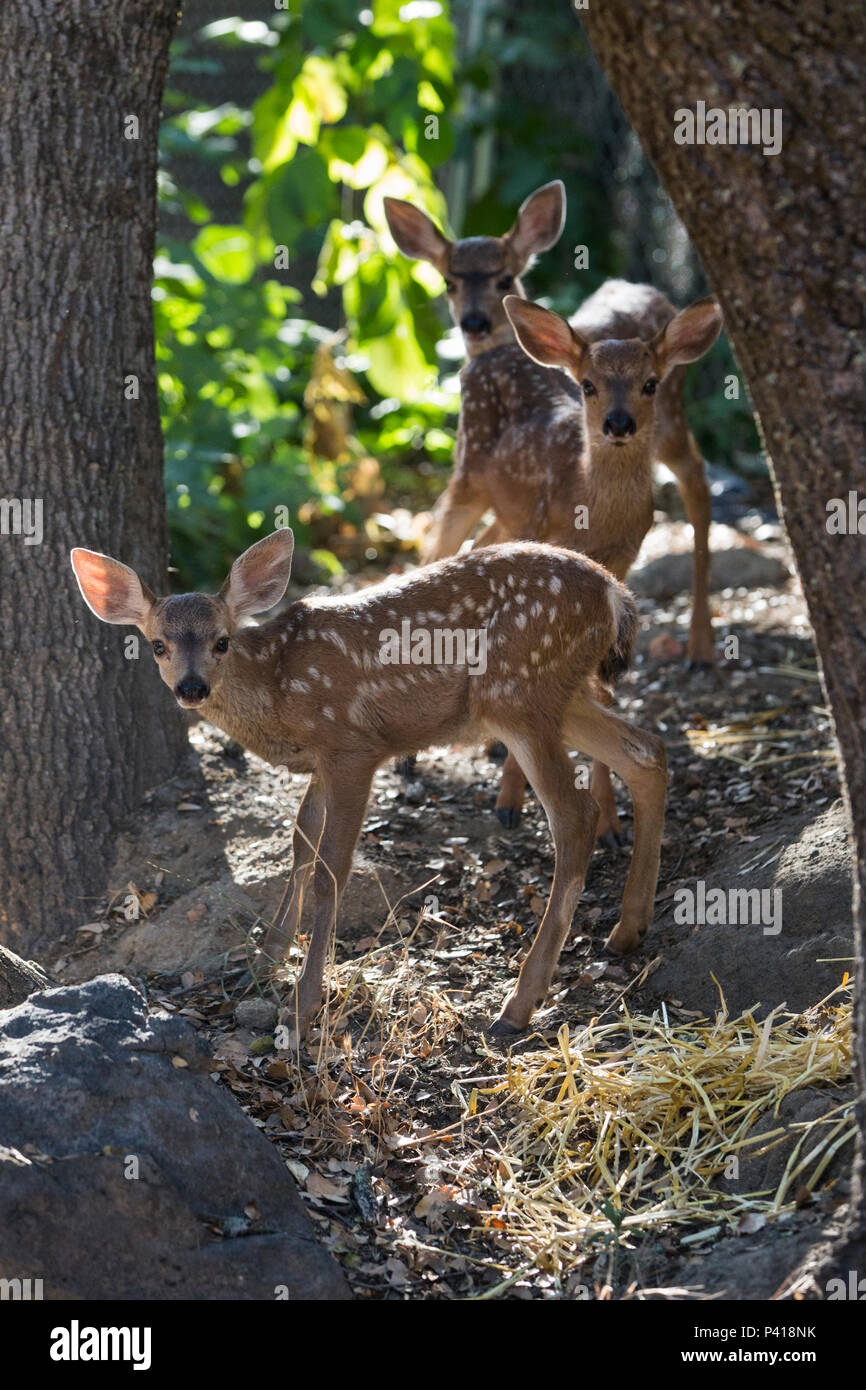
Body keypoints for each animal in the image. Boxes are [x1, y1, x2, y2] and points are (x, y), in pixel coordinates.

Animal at [70, 529, 666, 1041]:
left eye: (222, 641)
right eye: (157, 645)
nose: (192, 688)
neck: (278, 692)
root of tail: (615, 593)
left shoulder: (352, 746)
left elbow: (331, 867)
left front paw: (303, 1005)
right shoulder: (320, 762)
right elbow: (300, 844)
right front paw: (266, 958)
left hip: (518, 691)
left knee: (575, 815)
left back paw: (518, 1005)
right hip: (559, 695)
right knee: (646, 753)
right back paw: (628, 929)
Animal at [383, 184, 723, 837]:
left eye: (647, 382)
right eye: (587, 386)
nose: (618, 423)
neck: (592, 508)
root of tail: (490, 358)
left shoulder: (618, 565)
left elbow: (598, 686)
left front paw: (609, 820)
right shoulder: (547, 536)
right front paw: (512, 799)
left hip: (666, 430)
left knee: (698, 488)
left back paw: (699, 648)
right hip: (470, 474)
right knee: (439, 545)